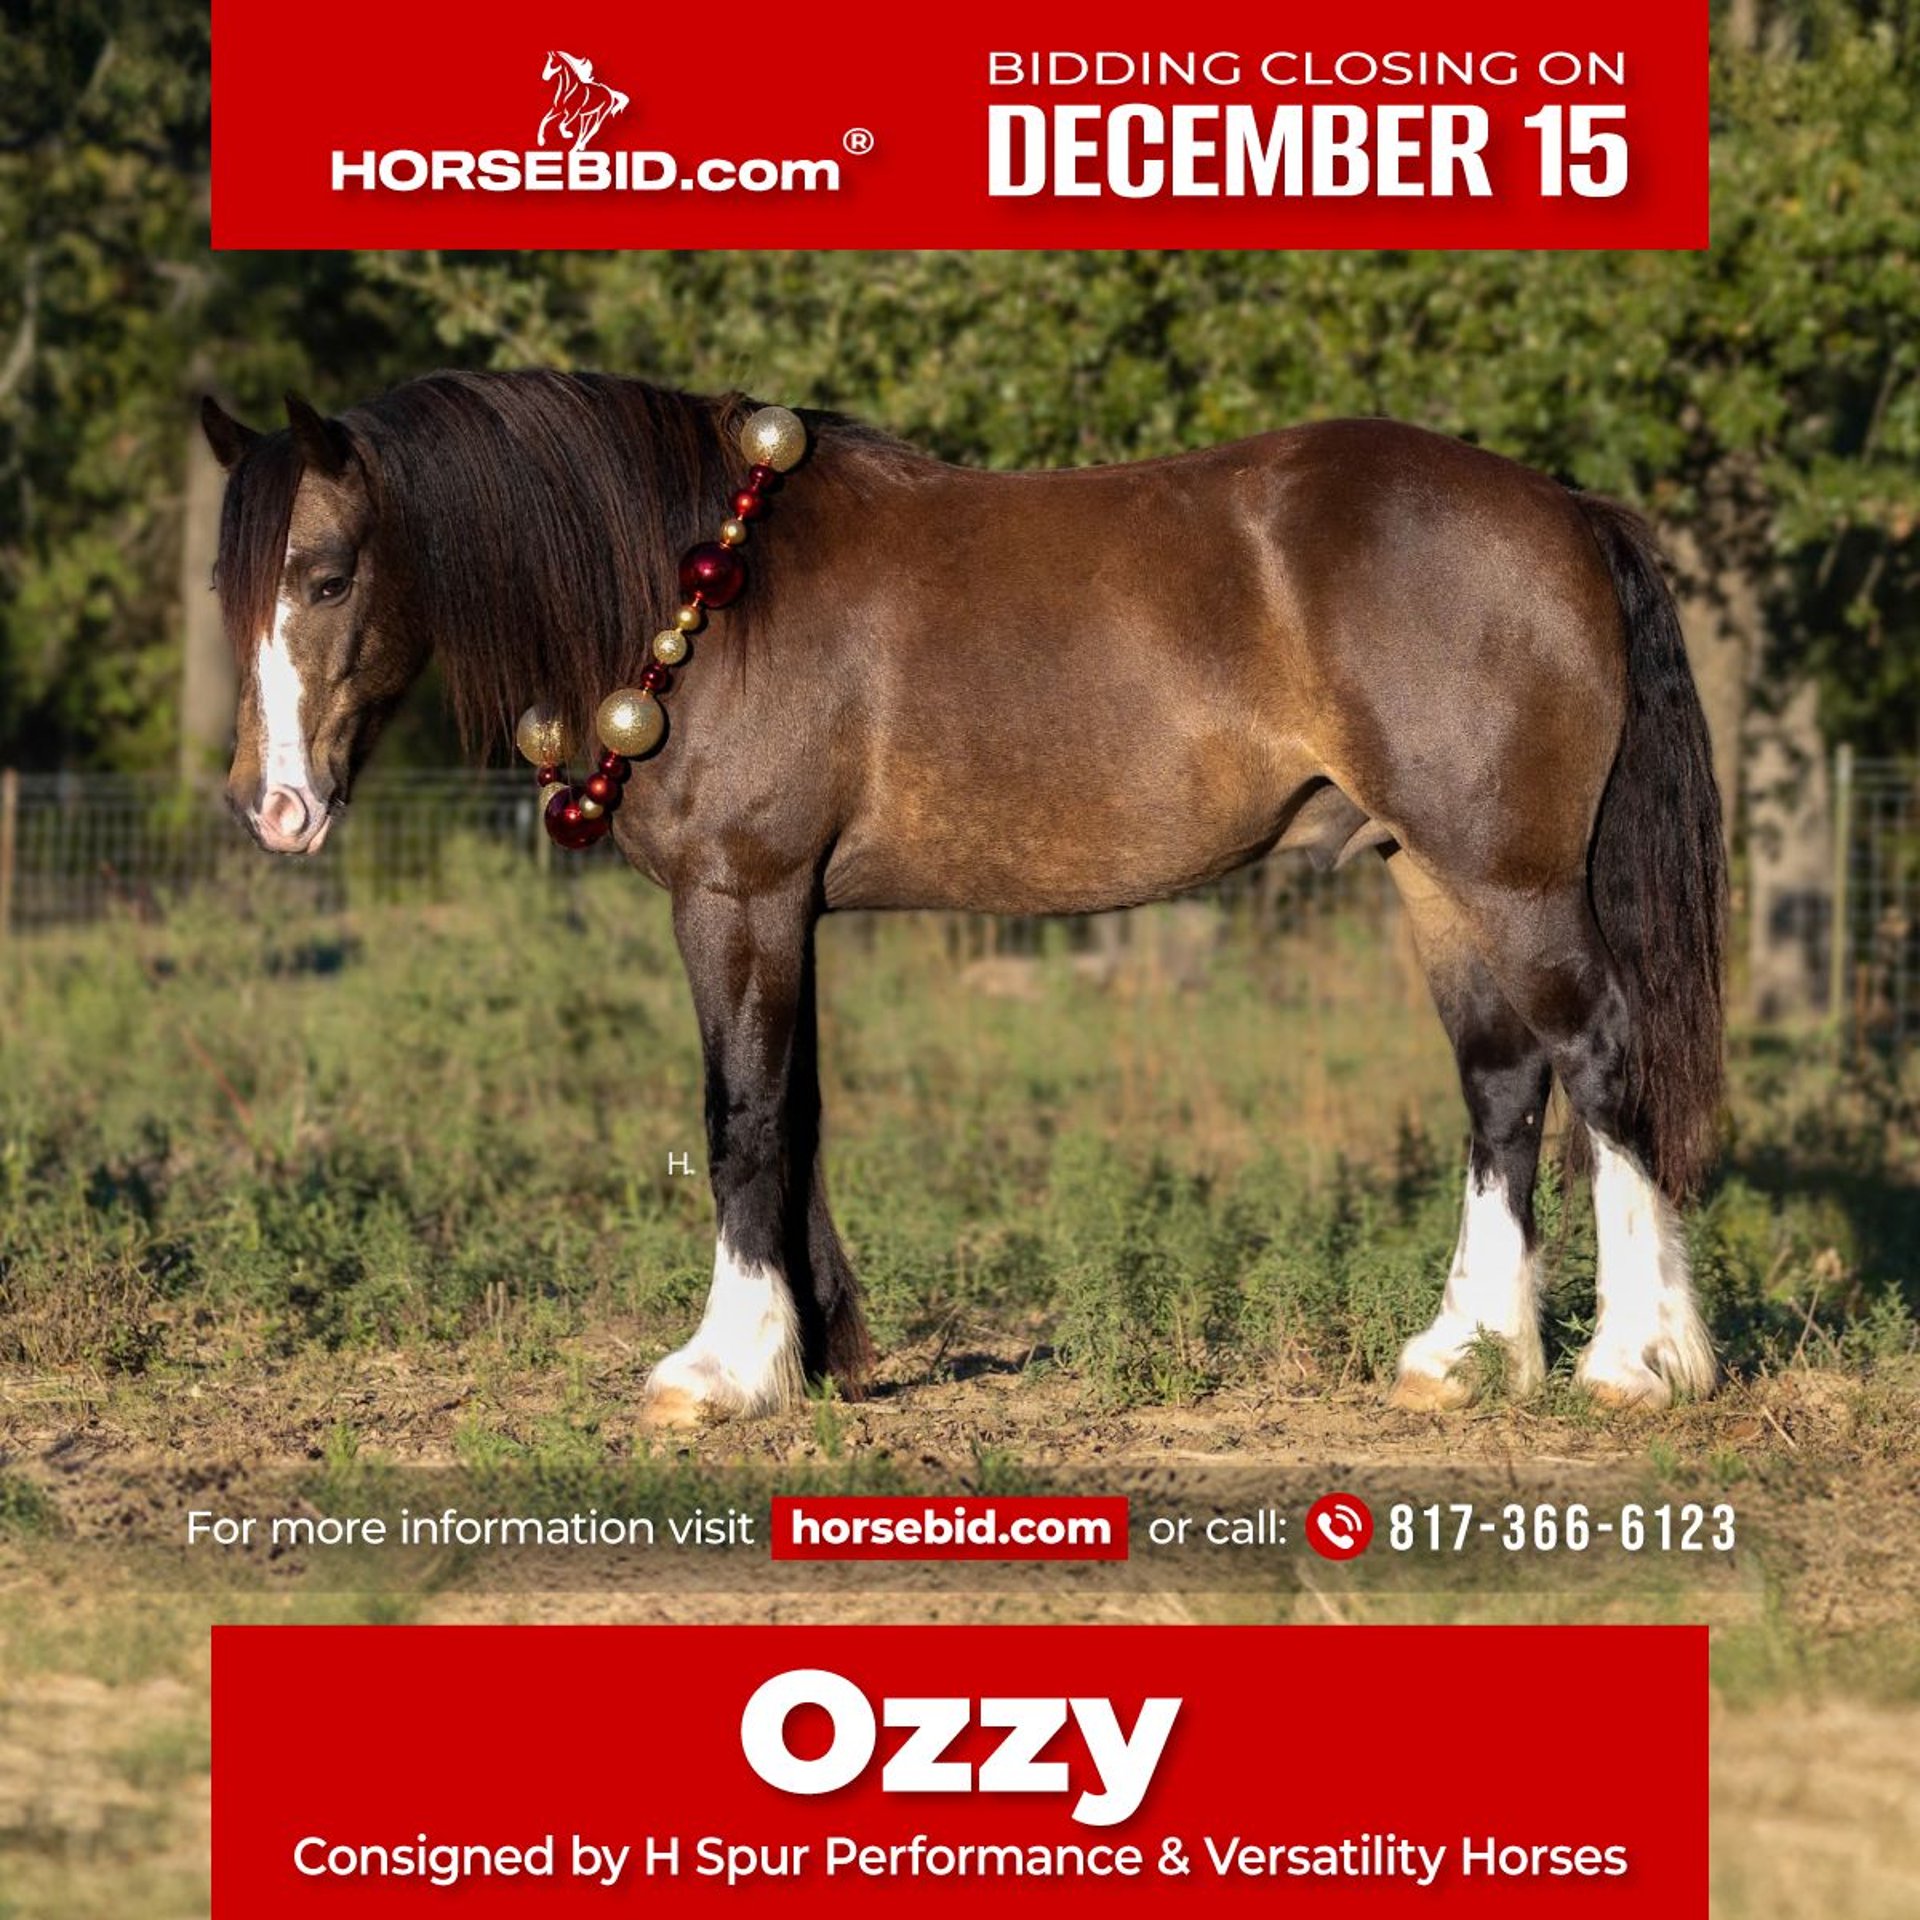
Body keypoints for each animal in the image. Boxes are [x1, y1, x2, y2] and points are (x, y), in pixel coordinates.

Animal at [199, 372, 1726, 1429]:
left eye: (325, 575)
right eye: (230, 588)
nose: (272, 807)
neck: (706, 586)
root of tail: (1567, 513)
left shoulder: (739, 898)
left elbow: (741, 1119)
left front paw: (724, 1367)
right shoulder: (791, 911)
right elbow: (799, 1112)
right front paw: (817, 1355)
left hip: (1510, 881)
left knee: (1603, 1063)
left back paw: (1637, 1361)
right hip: (1436, 879)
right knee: (1500, 1086)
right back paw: (1465, 1355)